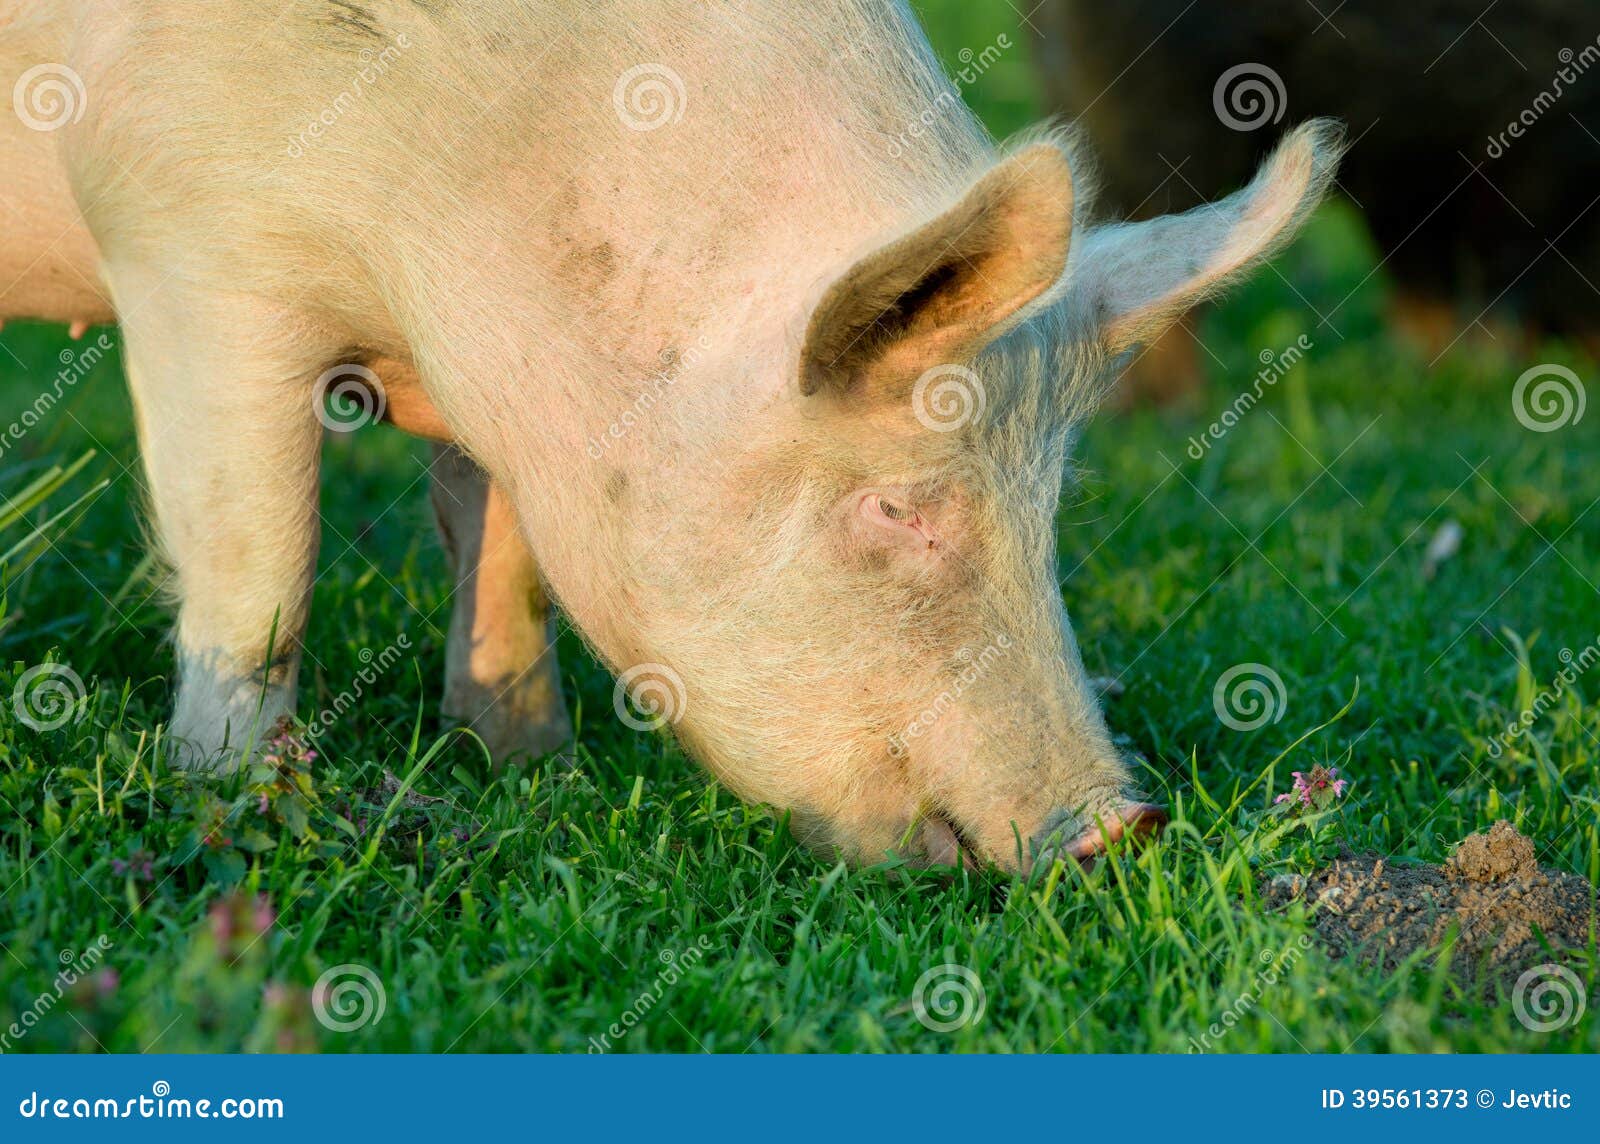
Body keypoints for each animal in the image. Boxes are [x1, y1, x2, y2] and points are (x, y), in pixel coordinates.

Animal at [0, 1, 1339, 871]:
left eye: (1046, 511)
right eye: (895, 505)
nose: (1126, 825)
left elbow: (503, 556)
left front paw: (527, 763)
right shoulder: (186, 245)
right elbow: (261, 564)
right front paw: (236, 796)